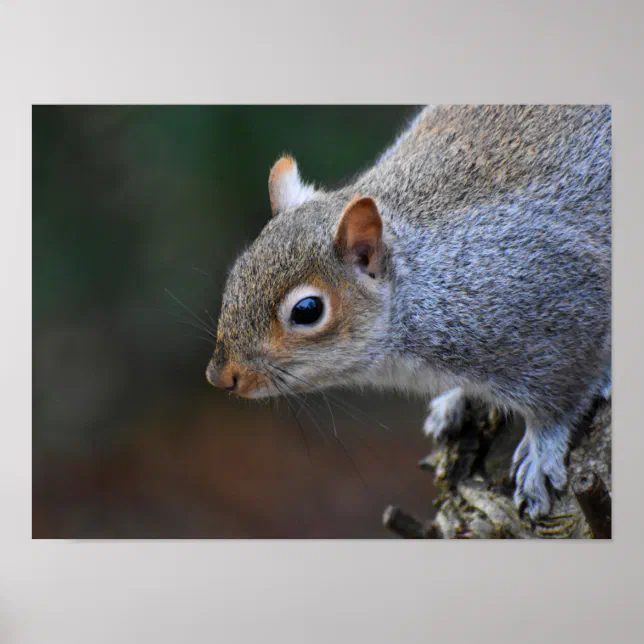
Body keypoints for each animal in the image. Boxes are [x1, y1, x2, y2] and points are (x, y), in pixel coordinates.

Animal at [206, 105, 611, 521]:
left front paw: (541, 456)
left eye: (307, 310)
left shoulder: (553, 299)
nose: (221, 376)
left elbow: (560, 399)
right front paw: (455, 399)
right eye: (237, 272)